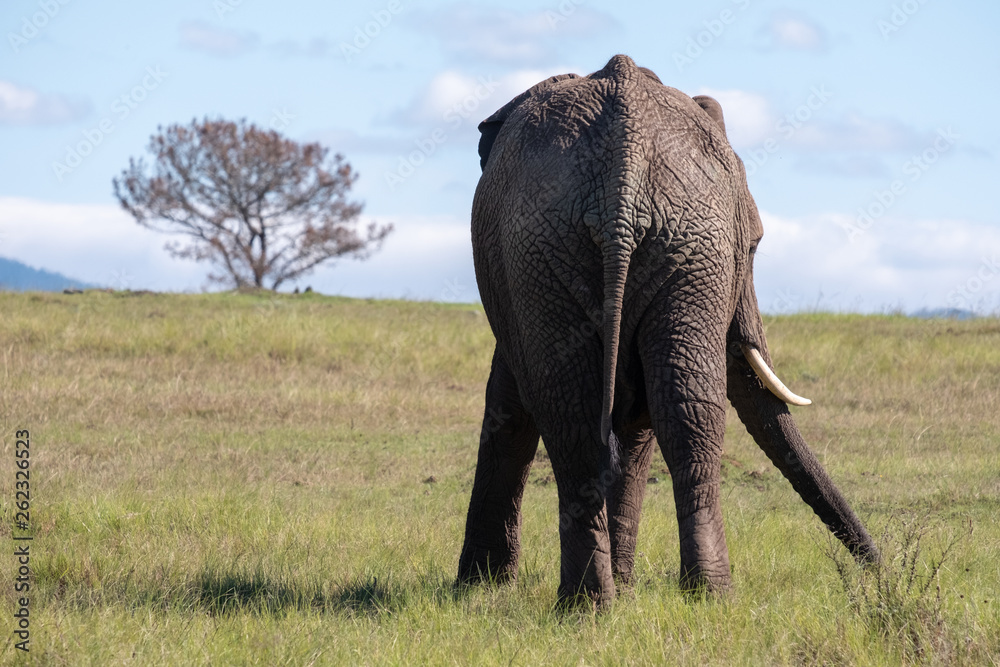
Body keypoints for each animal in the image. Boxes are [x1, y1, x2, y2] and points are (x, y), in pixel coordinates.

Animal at [456, 54, 878, 608]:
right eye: (755, 247)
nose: (879, 567)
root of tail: (626, 144)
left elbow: (538, 413)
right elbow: (519, 408)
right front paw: (477, 587)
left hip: (651, 245)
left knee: (619, 418)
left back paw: (621, 601)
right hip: (601, 250)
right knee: (631, 417)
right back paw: (655, 599)